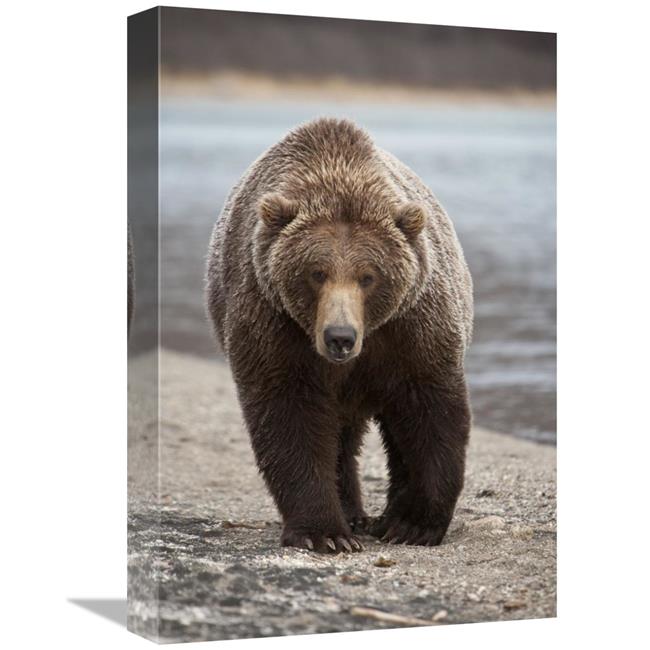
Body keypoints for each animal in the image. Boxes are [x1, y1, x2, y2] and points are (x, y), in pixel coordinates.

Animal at [205, 117, 473, 553]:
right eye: (316, 272)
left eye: (369, 276)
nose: (340, 337)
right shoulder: (274, 324)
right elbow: (288, 415)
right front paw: (325, 533)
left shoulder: (410, 327)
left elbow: (429, 411)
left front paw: (413, 524)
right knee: (340, 438)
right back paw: (351, 514)